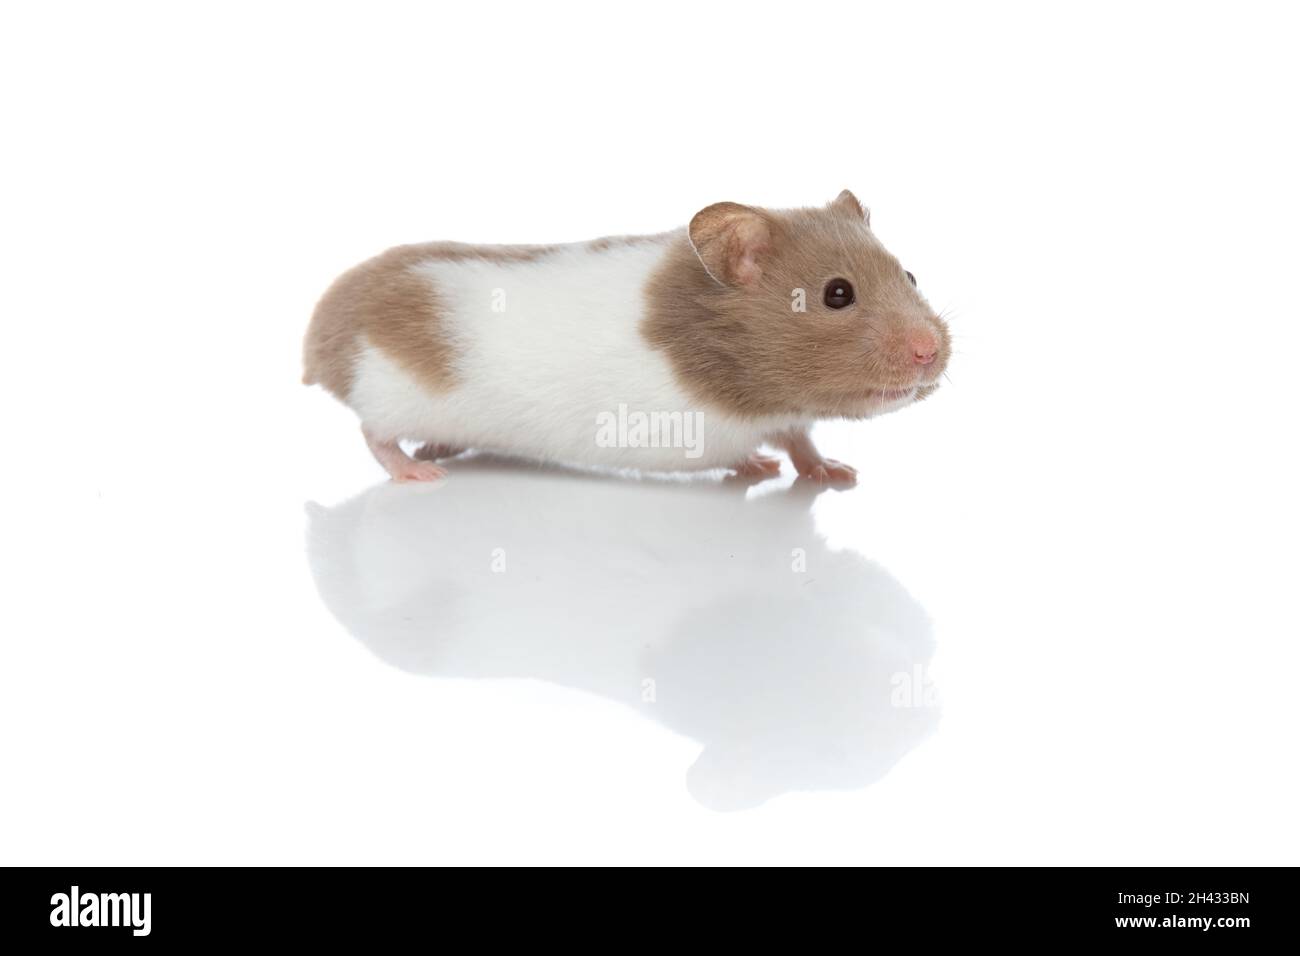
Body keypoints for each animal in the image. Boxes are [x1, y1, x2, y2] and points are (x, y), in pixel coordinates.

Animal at [302, 190, 950, 484]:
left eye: (911, 275)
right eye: (837, 294)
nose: (930, 353)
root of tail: (322, 332)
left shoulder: (787, 417)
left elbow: (802, 442)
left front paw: (835, 472)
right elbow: (777, 442)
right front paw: (760, 467)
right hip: (388, 388)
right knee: (374, 434)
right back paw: (419, 472)